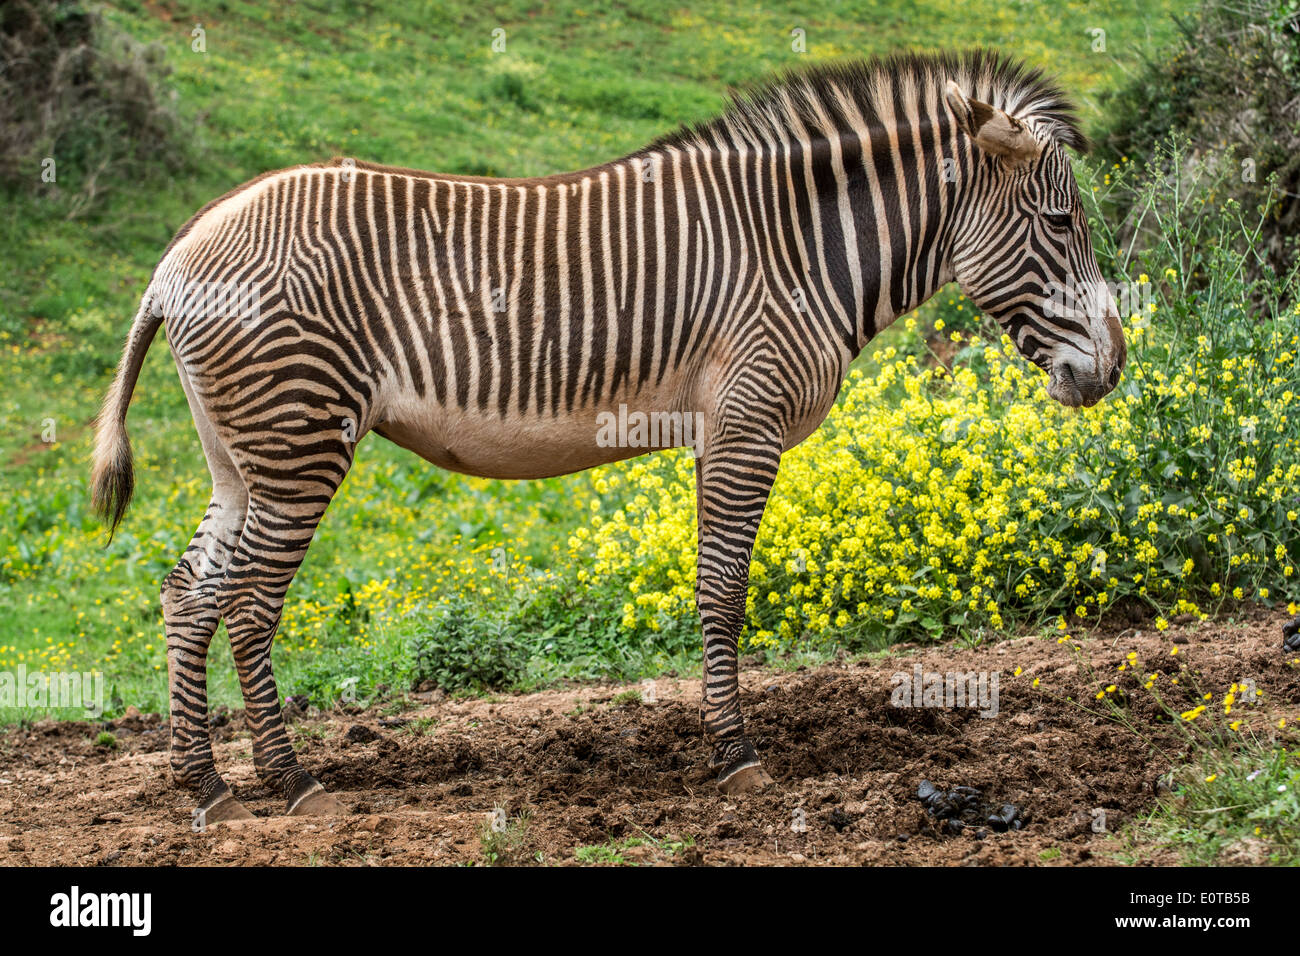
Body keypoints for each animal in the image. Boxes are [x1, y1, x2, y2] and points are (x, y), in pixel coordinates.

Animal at [91, 50, 1125, 822]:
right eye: (1061, 220)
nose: (1113, 369)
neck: (800, 250)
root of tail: (179, 252)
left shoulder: (723, 430)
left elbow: (714, 583)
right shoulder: (745, 421)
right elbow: (723, 590)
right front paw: (735, 755)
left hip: (243, 458)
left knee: (188, 592)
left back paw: (206, 787)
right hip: (301, 439)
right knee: (248, 603)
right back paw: (292, 782)